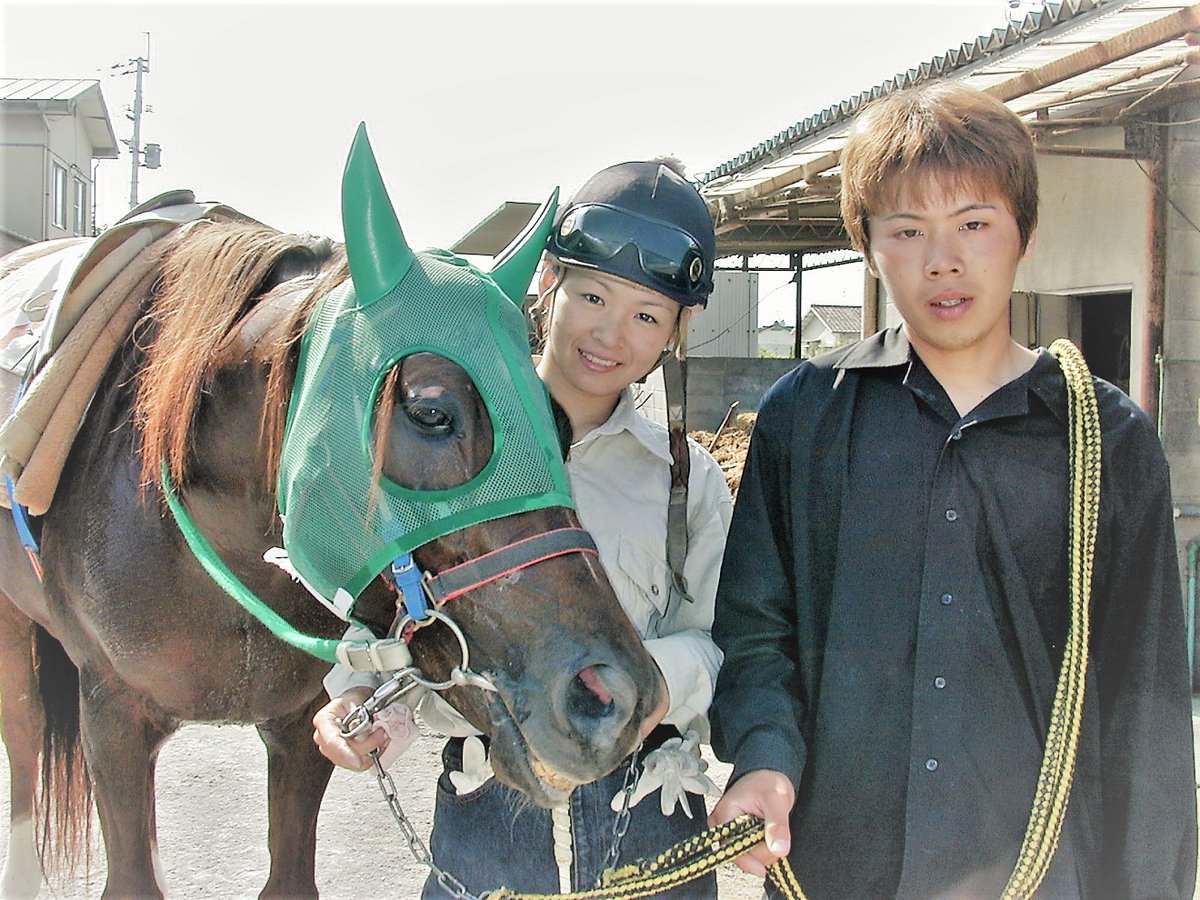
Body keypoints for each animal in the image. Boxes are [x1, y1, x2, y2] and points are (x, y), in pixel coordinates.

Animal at [0, 126, 663, 898]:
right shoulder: (113, 718)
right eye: (430, 411)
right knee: (22, 740)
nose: (618, 695)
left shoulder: (298, 728)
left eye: (558, 423)